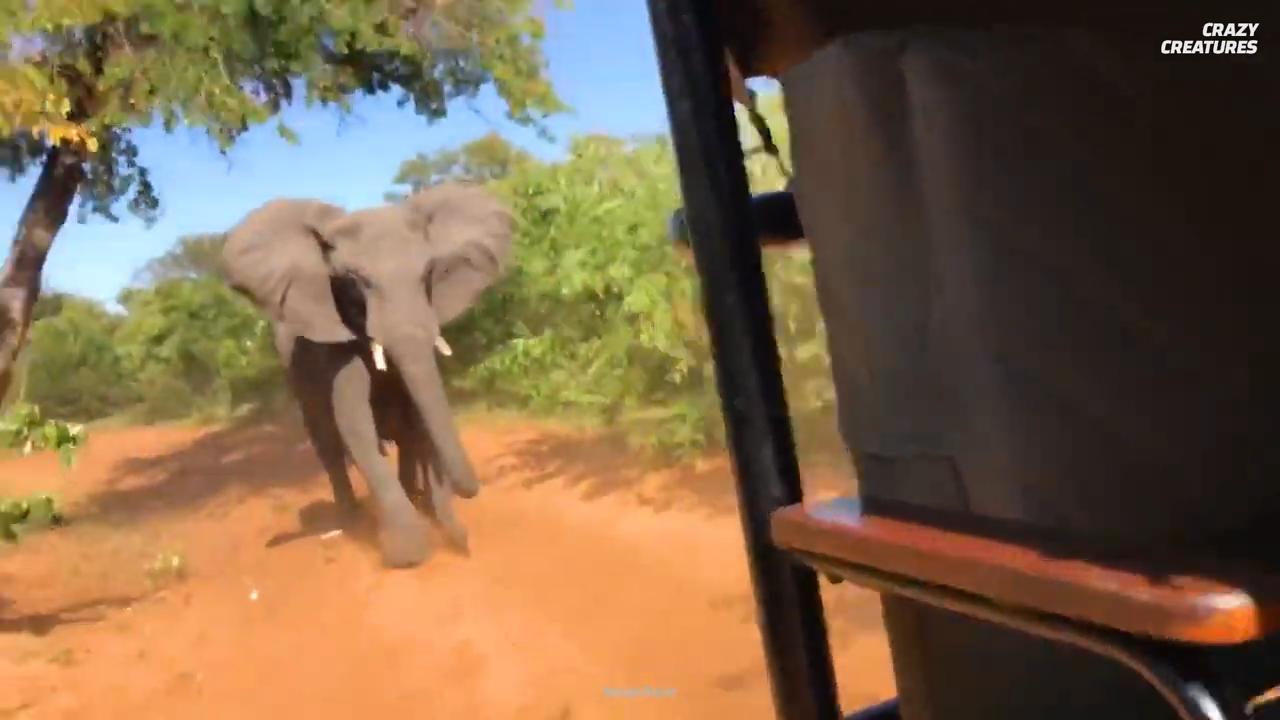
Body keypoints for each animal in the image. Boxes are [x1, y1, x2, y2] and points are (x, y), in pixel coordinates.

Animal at [222, 182, 514, 568]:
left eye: (428, 273)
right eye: (352, 282)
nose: (463, 542)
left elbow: (418, 416)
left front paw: (439, 522)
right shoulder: (332, 346)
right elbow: (355, 423)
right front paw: (407, 555)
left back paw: (410, 494)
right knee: (327, 441)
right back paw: (351, 519)